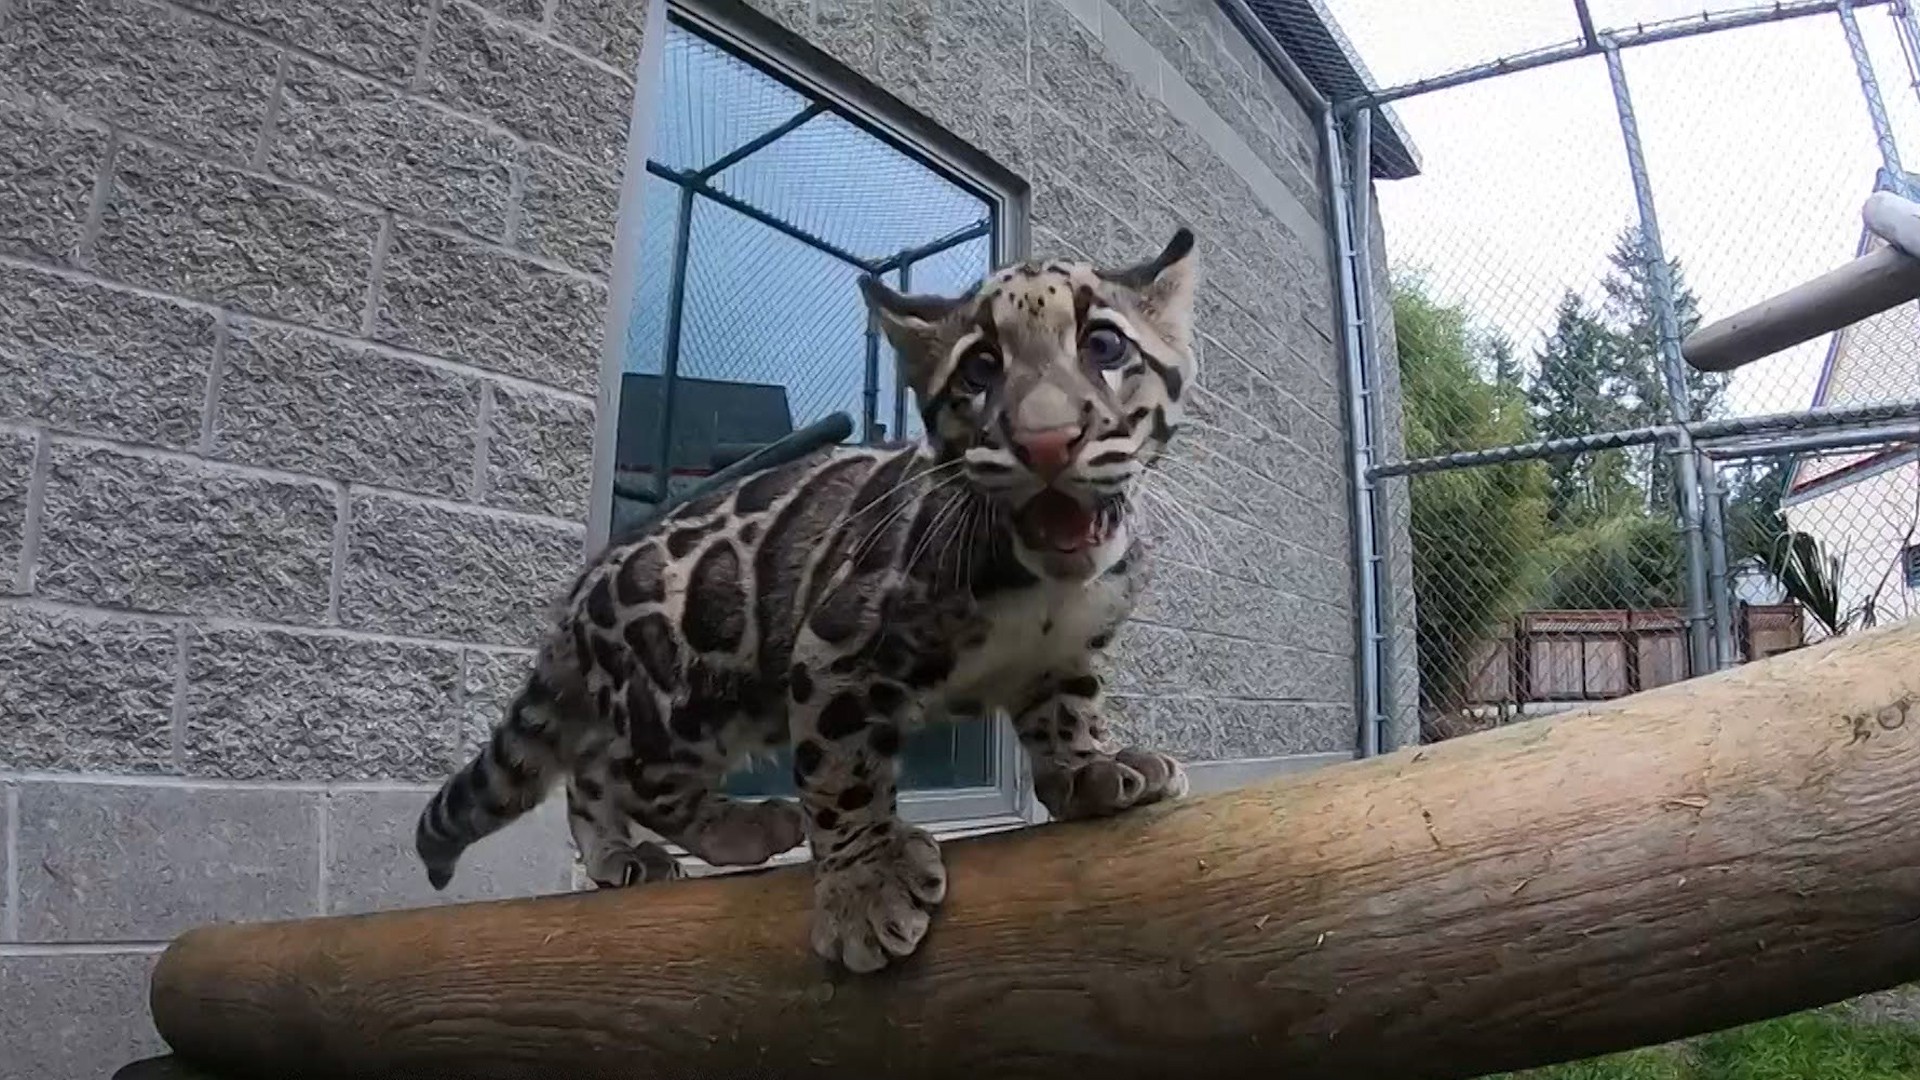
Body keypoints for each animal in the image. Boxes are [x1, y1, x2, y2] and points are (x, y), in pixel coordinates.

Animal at [416, 227, 1200, 973]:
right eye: (980, 368)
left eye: (1104, 345)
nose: (1046, 440)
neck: (1043, 586)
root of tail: (581, 595)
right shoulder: (837, 648)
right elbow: (842, 774)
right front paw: (864, 887)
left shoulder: (1061, 657)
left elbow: (1067, 714)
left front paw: (1090, 770)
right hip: (687, 698)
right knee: (632, 774)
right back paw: (741, 828)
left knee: (589, 772)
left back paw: (616, 856)